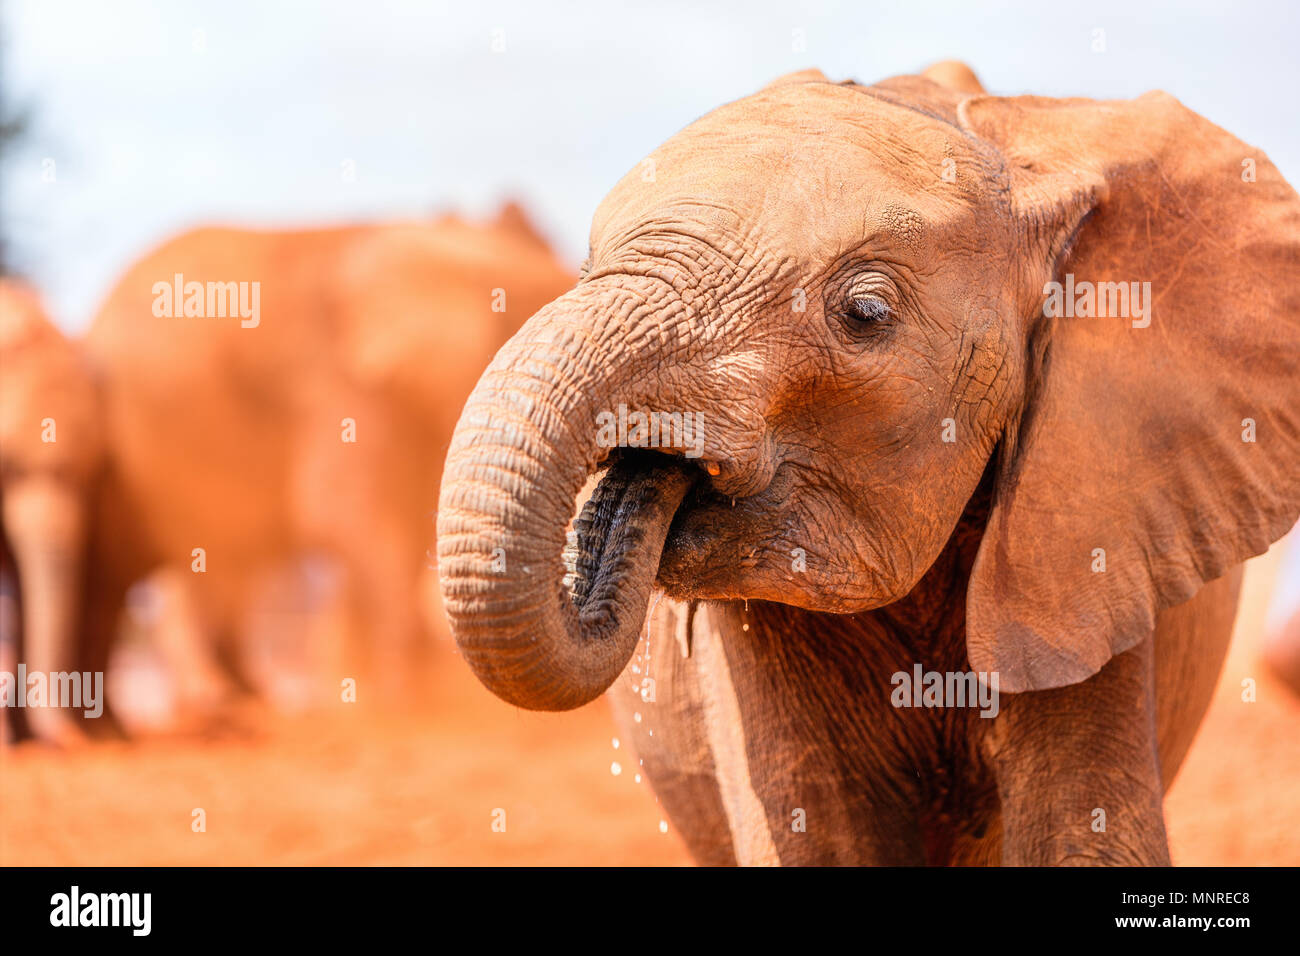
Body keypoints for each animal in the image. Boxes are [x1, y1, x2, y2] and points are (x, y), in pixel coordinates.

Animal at [80, 202, 573, 723]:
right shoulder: (344, 385)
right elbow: (344, 515)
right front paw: (410, 699)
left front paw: (384, 695)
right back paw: (218, 707)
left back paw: (248, 699)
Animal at [435, 63, 1300, 865]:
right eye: (584, 272)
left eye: (865, 313)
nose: (643, 482)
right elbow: (818, 838)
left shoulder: (1090, 539)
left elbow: (1083, 834)